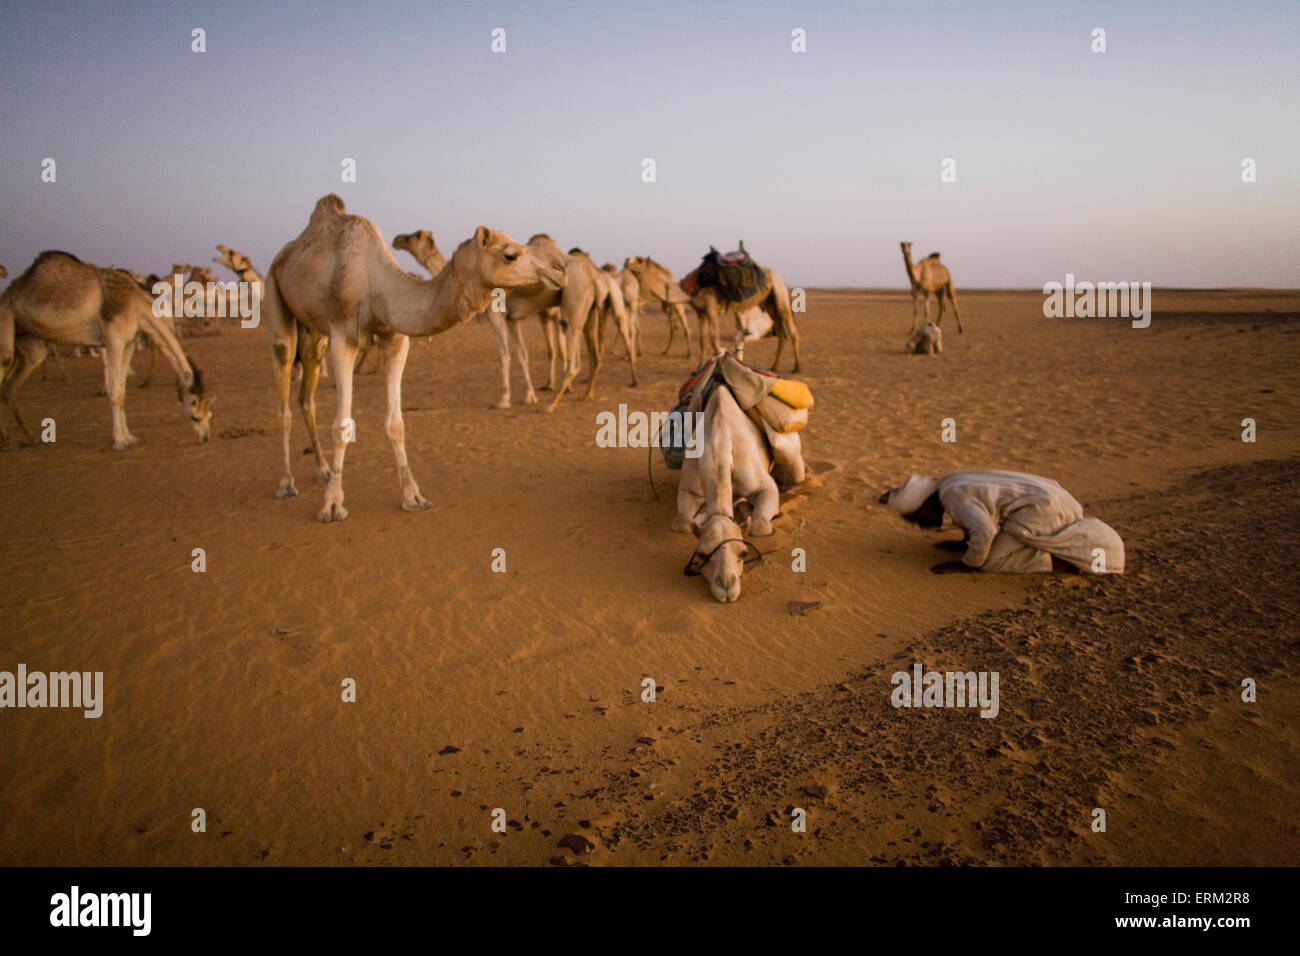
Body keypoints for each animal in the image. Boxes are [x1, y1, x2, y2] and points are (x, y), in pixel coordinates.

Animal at [0, 251, 213, 448]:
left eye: (209, 411)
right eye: (195, 409)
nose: (205, 437)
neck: (136, 304)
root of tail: (8, 293)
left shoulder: (128, 343)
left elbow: (122, 389)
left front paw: (129, 436)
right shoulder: (114, 341)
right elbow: (115, 391)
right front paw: (120, 441)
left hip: (28, 342)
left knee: (9, 386)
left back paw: (24, 437)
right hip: (6, 318)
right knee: (5, 364)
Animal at [263, 194, 565, 521]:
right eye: (510, 254)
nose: (560, 267)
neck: (377, 285)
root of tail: (283, 255)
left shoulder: (396, 338)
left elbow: (397, 423)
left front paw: (414, 496)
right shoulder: (343, 337)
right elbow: (342, 425)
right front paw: (332, 505)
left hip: (314, 332)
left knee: (307, 395)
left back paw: (323, 469)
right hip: (274, 292)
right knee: (283, 388)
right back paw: (286, 483)